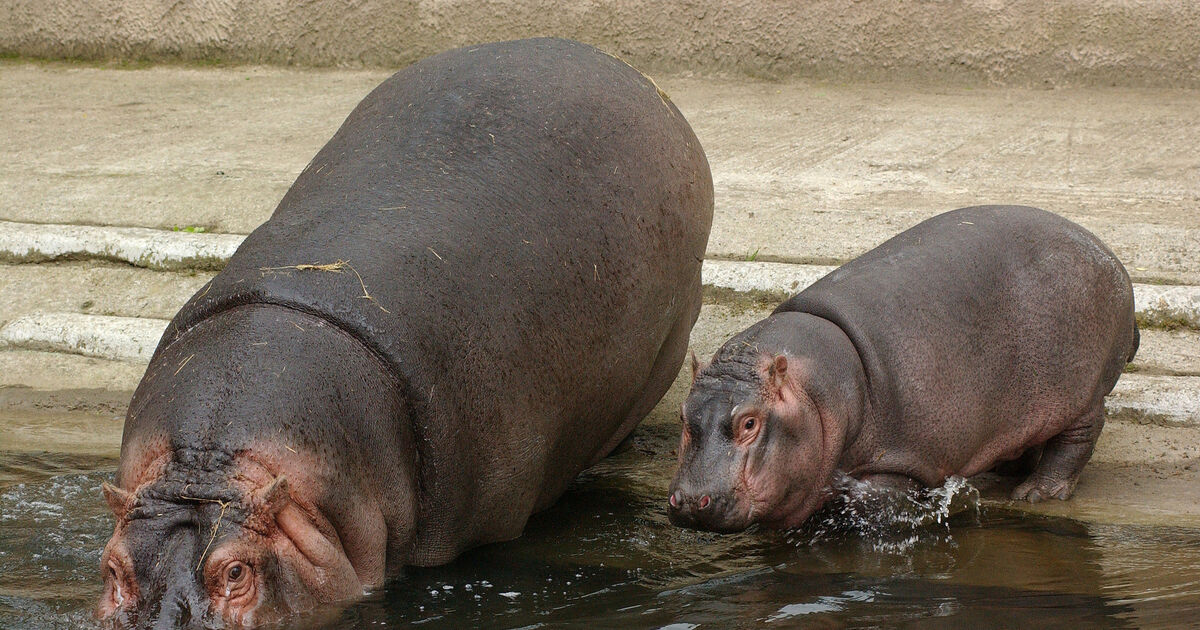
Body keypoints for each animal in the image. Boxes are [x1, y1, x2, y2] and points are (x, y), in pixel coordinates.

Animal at [667, 205, 1137, 533]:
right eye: (682, 415)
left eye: (749, 423)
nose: (689, 501)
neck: (816, 389)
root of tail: (1112, 258)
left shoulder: (899, 460)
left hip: (1081, 395)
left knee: (1079, 437)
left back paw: (1037, 494)